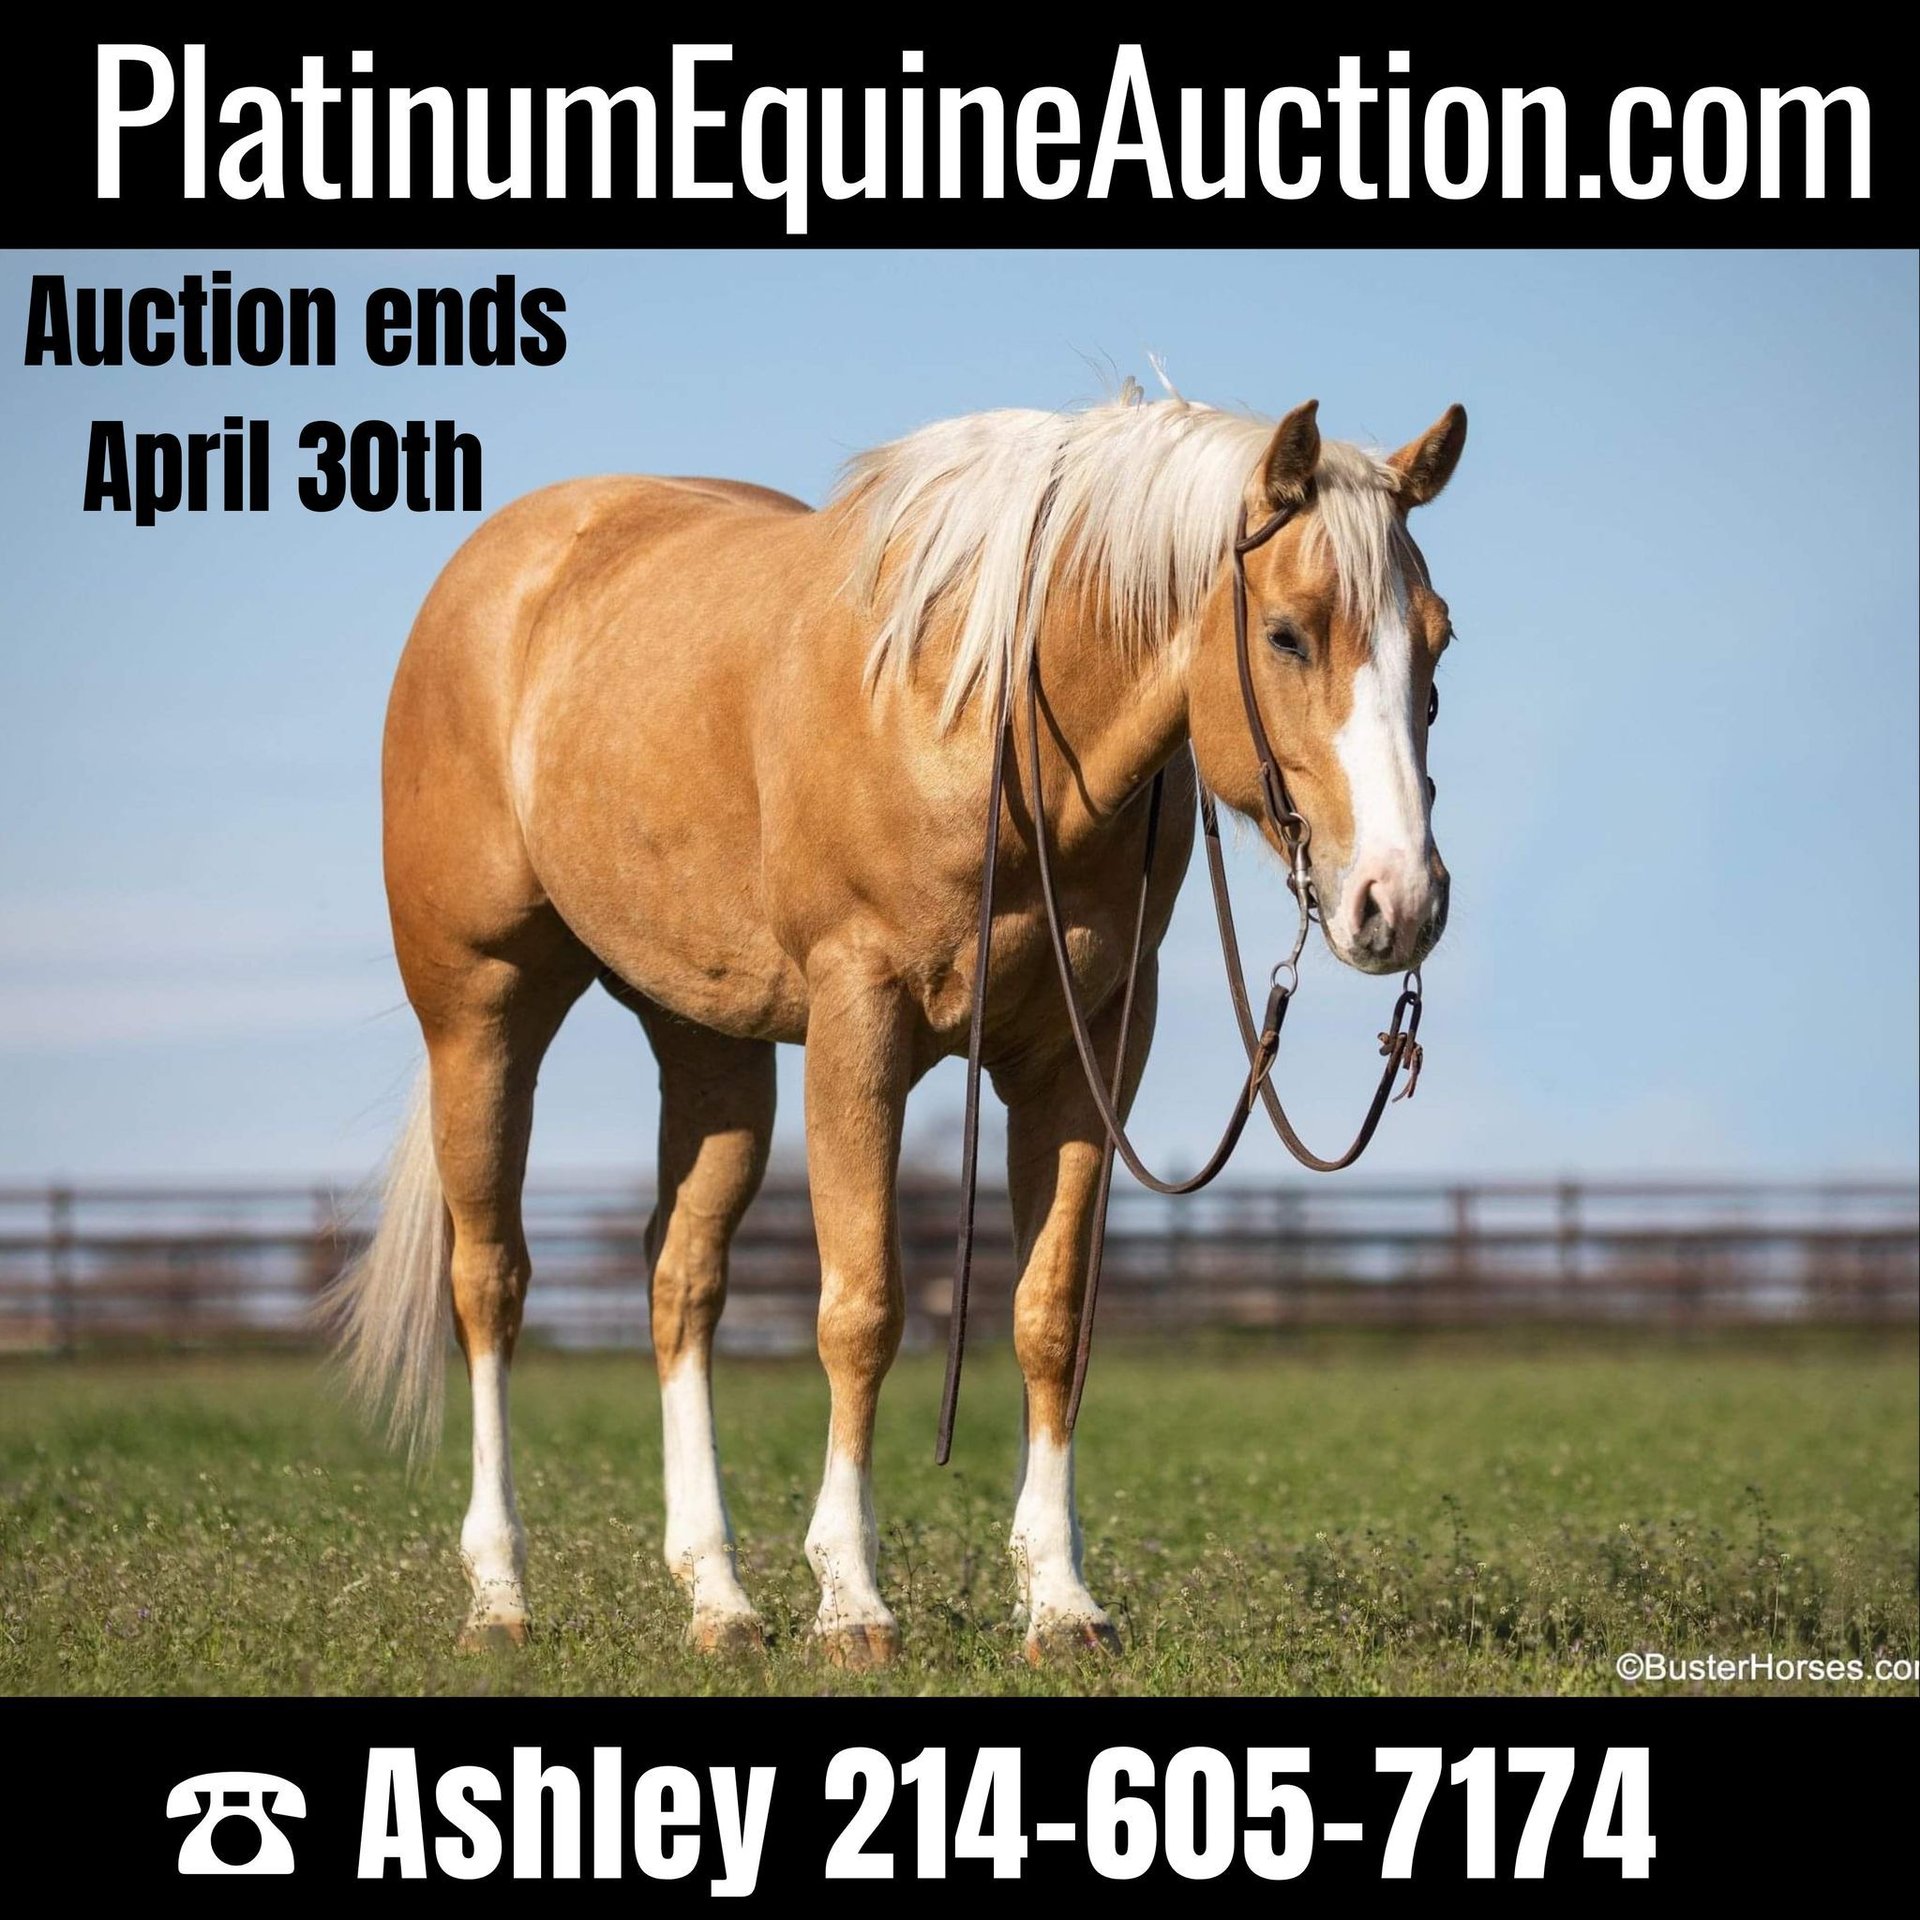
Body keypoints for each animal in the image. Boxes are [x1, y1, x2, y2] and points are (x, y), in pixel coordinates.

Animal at [325, 379, 1465, 1667]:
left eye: (1437, 639)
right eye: (1286, 633)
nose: (1399, 902)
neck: (992, 724)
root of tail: (501, 567)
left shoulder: (1086, 1053)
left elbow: (1050, 1317)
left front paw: (1059, 1601)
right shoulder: (856, 1025)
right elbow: (861, 1310)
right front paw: (852, 1600)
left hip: (708, 1044)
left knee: (682, 1286)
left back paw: (719, 1599)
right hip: (481, 1010)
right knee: (490, 1282)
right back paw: (500, 1595)